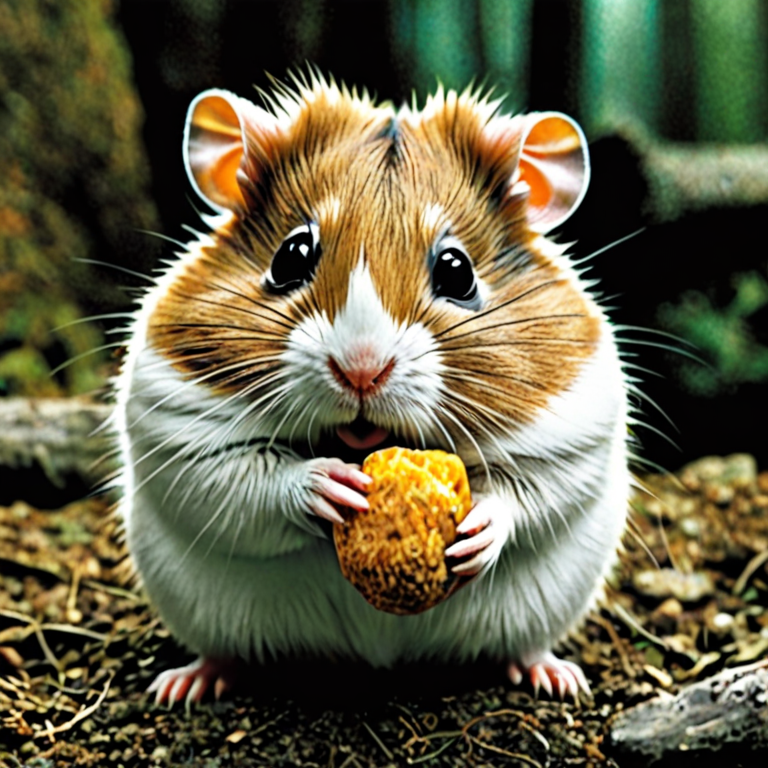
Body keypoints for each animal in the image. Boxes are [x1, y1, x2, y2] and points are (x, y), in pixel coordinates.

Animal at [114, 72, 630, 706]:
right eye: (291, 255)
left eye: (458, 270)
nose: (361, 370)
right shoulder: (179, 429)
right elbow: (246, 479)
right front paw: (330, 488)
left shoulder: (572, 436)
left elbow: (524, 497)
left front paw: (475, 533)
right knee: (224, 652)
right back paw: (184, 685)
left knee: (524, 646)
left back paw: (558, 679)